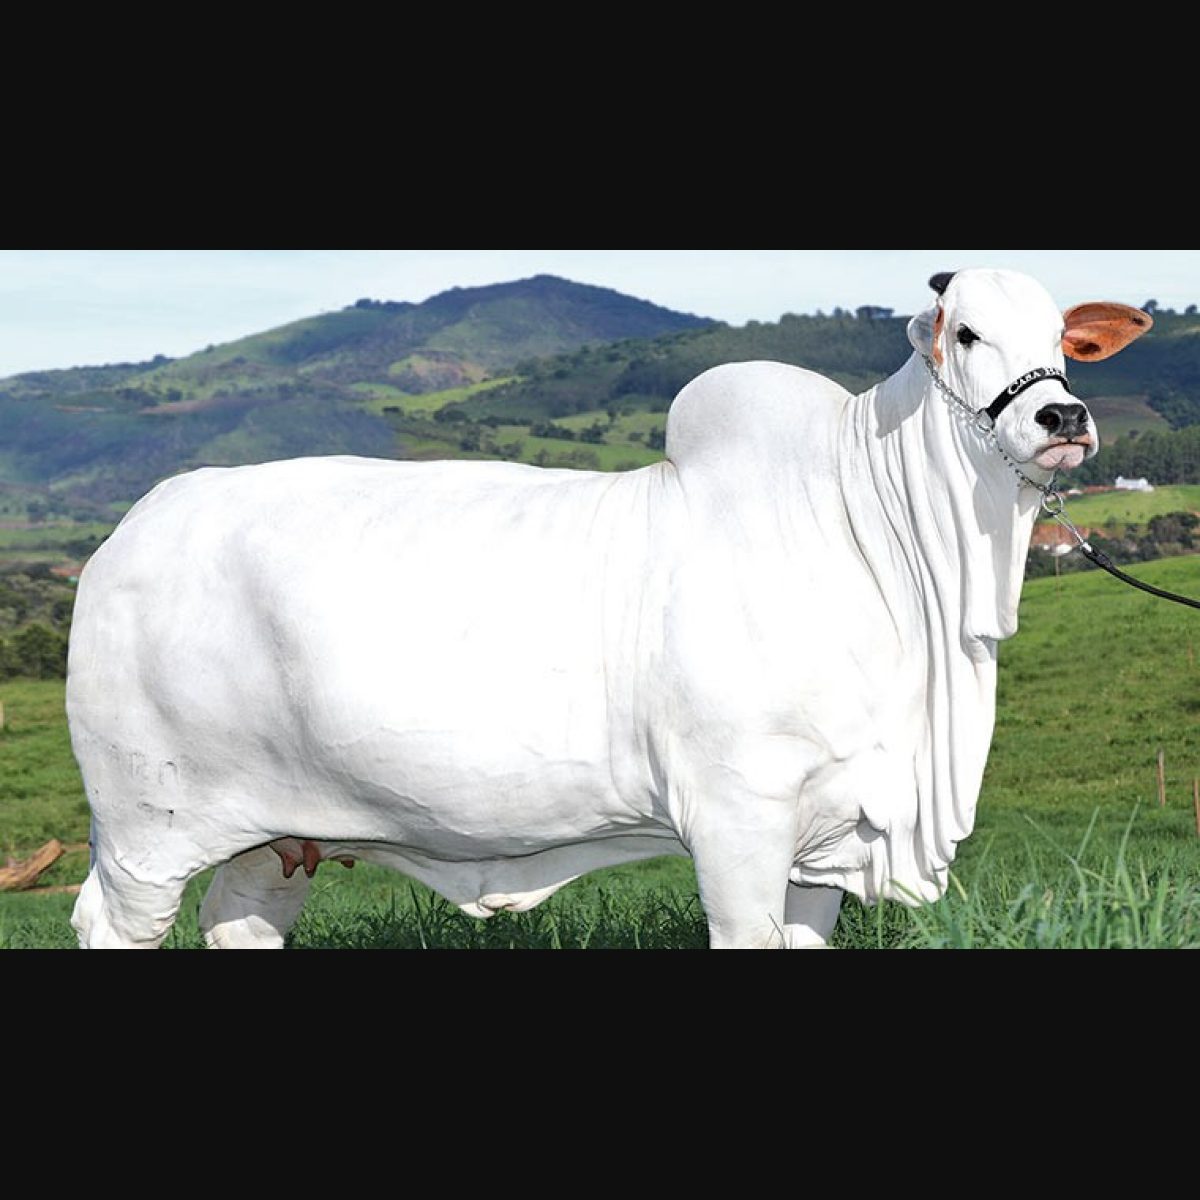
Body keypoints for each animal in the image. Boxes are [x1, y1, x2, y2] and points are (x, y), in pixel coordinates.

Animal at [67, 269, 1151, 950]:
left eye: (1065, 344)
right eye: (966, 333)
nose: (1062, 416)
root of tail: (136, 527)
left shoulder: (826, 839)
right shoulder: (737, 818)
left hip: (275, 839)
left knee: (242, 923)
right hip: (145, 831)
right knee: (110, 924)